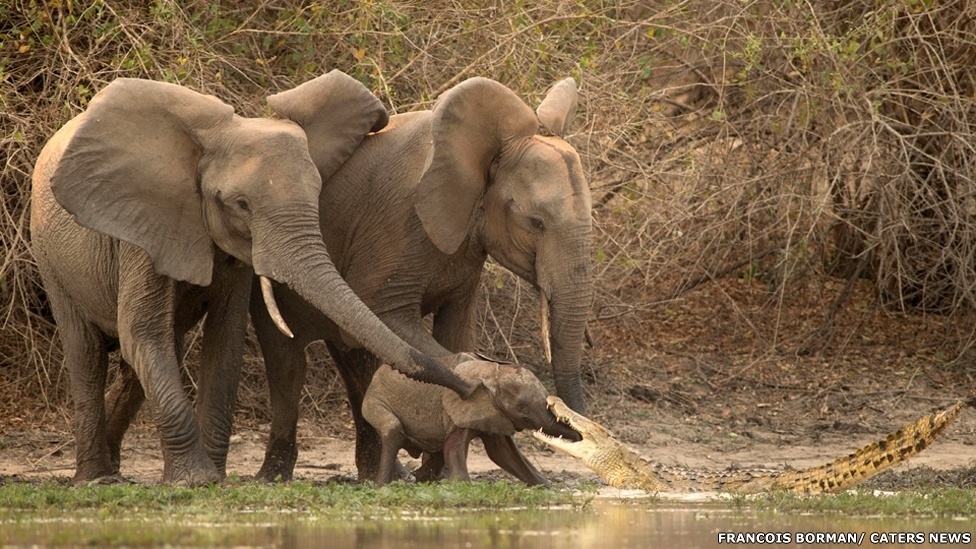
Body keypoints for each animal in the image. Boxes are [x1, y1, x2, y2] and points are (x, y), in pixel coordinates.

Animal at [29, 71, 479, 485]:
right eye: (240, 204)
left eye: (318, 193)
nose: (470, 382)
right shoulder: (143, 227)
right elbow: (142, 330)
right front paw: (198, 480)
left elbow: (224, 339)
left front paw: (214, 477)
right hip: (49, 254)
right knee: (88, 351)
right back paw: (95, 478)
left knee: (146, 356)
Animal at [363, 359, 577, 486]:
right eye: (522, 410)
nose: (580, 435)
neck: (493, 372)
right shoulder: (461, 409)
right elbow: (453, 446)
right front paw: (463, 486)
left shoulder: (494, 413)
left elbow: (504, 453)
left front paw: (546, 486)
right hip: (374, 402)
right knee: (393, 431)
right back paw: (383, 486)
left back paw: (418, 479)